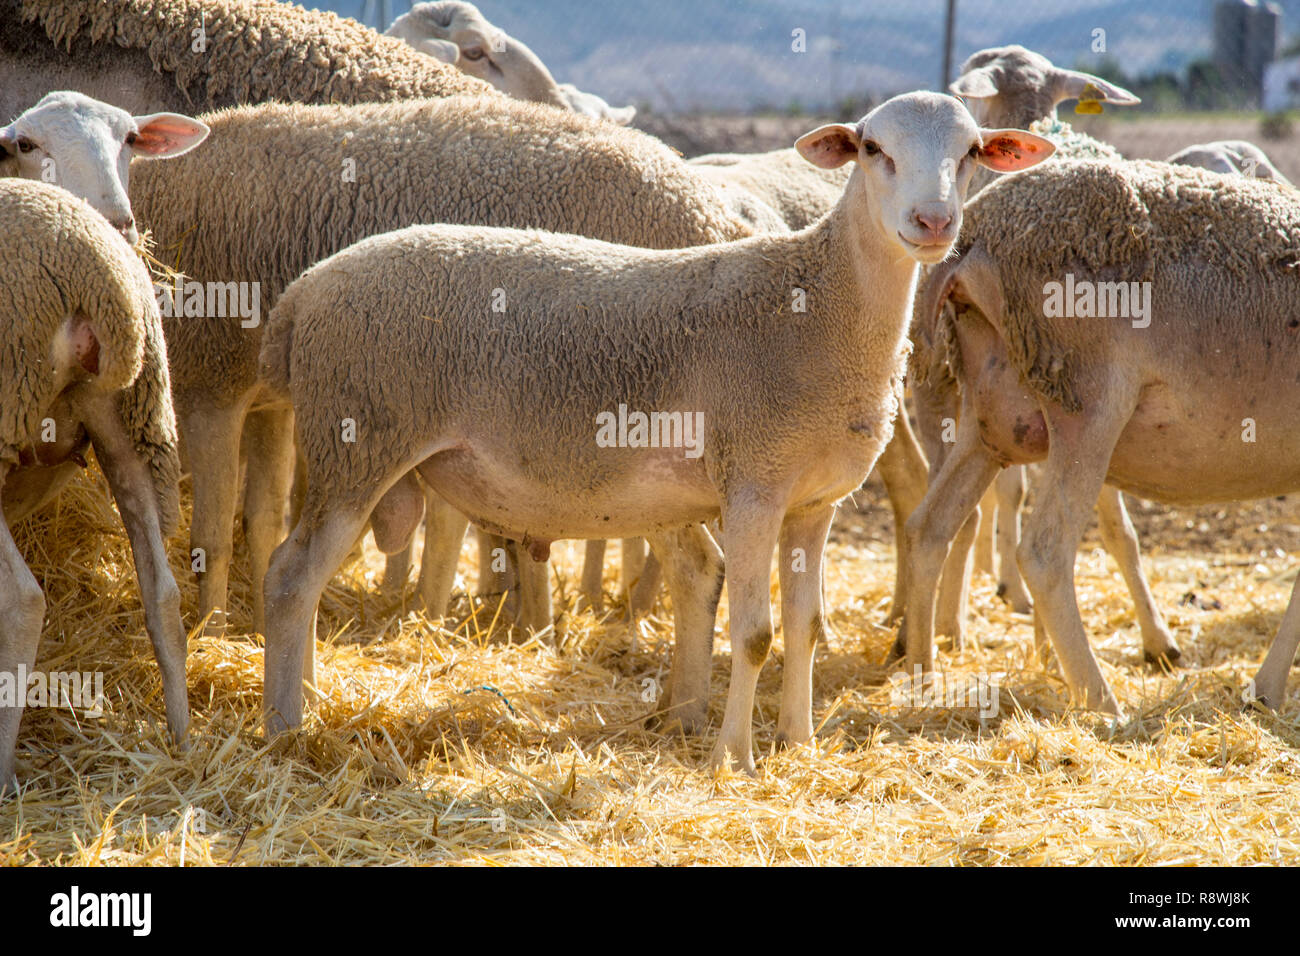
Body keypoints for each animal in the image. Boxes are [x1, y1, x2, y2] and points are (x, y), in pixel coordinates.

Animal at [116, 94, 783, 639]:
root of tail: (722, 214)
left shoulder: (210, 385)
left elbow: (211, 532)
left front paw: (210, 630)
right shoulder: (265, 402)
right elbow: (260, 516)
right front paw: (250, 620)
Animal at [255, 92, 1054, 771]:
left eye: (972, 152)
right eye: (873, 148)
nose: (933, 224)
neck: (818, 308)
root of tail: (306, 290)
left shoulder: (813, 503)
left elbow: (804, 628)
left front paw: (798, 743)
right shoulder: (753, 485)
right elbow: (755, 635)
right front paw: (735, 758)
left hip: (352, 445)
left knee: (307, 579)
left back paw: (313, 701)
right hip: (358, 441)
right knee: (292, 576)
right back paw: (287, 726)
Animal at [904, 157, 1300, 715]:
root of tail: (977, 232)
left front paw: (1267, 690)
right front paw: (1266, 689)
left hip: (993, 416)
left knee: (929, 528)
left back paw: (921, 683)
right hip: (1087, 405)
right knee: (1043, 553)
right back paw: (1103, 704)